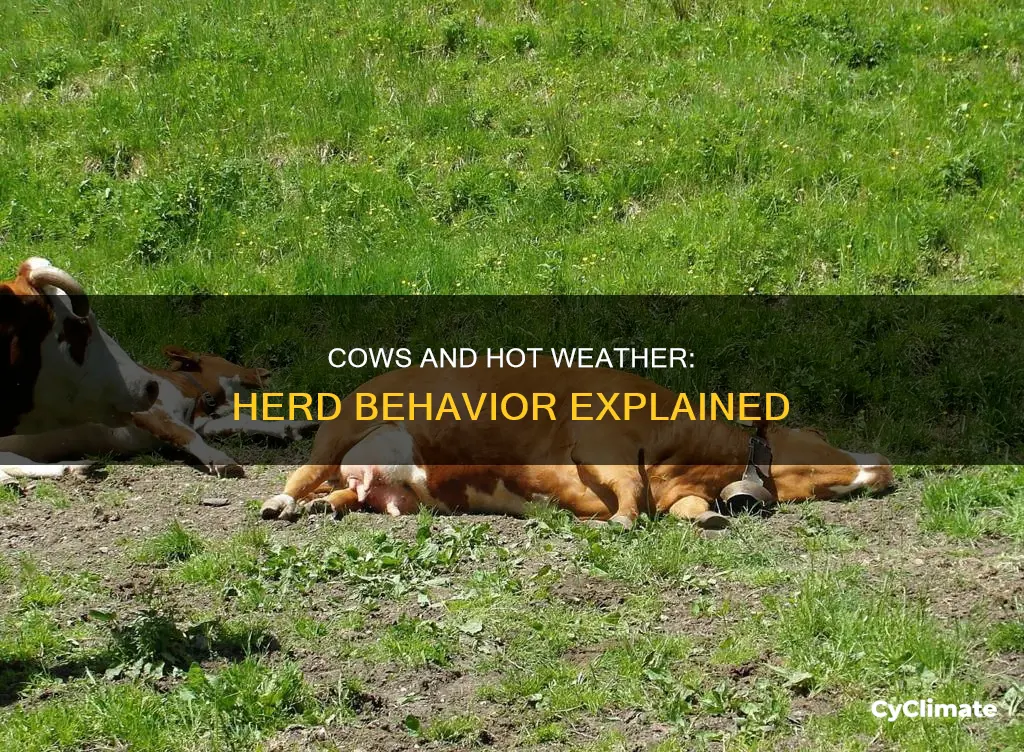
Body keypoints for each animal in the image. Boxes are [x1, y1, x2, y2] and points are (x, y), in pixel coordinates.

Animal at [0, 346, 318, 478]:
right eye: (225, 358)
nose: (265, 370)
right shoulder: (154, 414)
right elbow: (187, 436)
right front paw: (221, 460)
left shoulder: (204, 422)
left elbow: (244, 422)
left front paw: (294, 425)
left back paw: (76, 467)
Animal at [259, 359, 894, 528]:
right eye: (817, 436)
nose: (885, 464)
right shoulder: (599, 440)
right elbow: (628, 484)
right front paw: (622, 523)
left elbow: (683, 508)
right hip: (340, 431)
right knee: (302, 475)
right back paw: (281, 503)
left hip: (379, 486)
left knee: (344, 494)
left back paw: (325, 508)